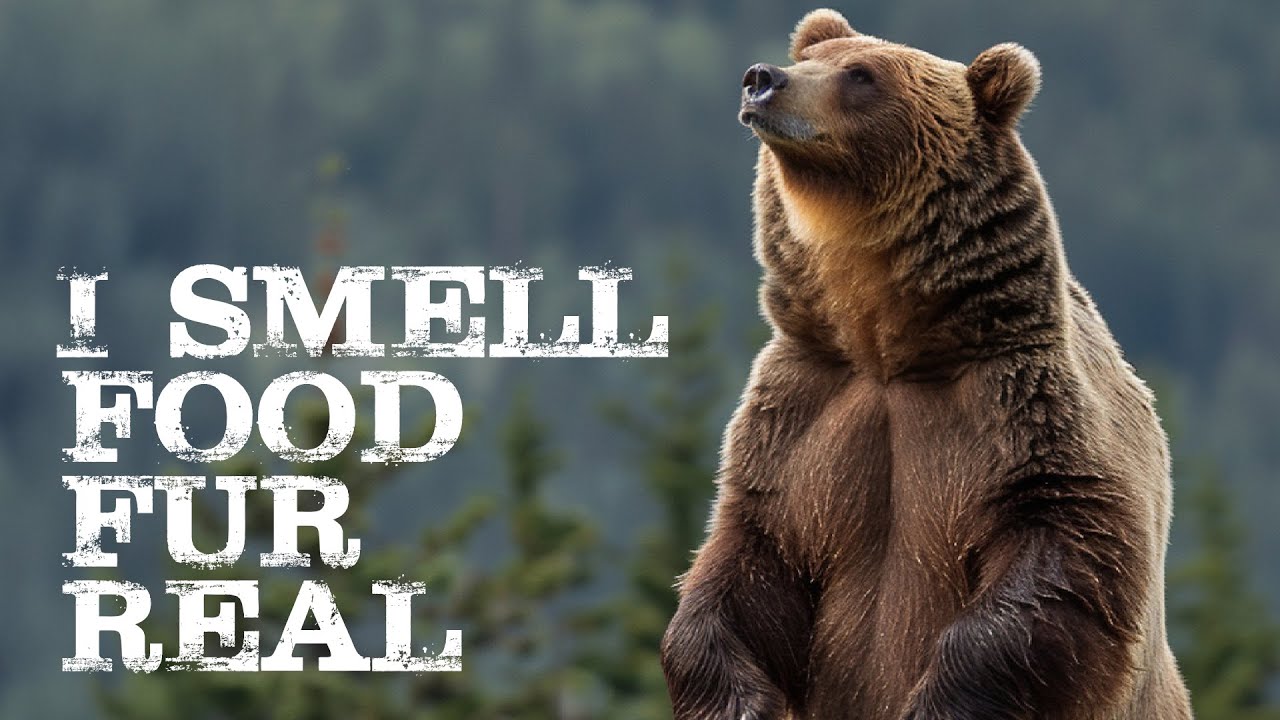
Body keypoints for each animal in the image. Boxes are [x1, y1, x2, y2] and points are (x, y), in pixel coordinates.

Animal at [660, 9, 1194, 720]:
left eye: (862, 74)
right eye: (813, 55)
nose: (762, 79)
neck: (885, 346)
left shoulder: (1022, 412)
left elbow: (1057, 568)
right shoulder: (797, 419)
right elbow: (743, 567)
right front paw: (742, 701)